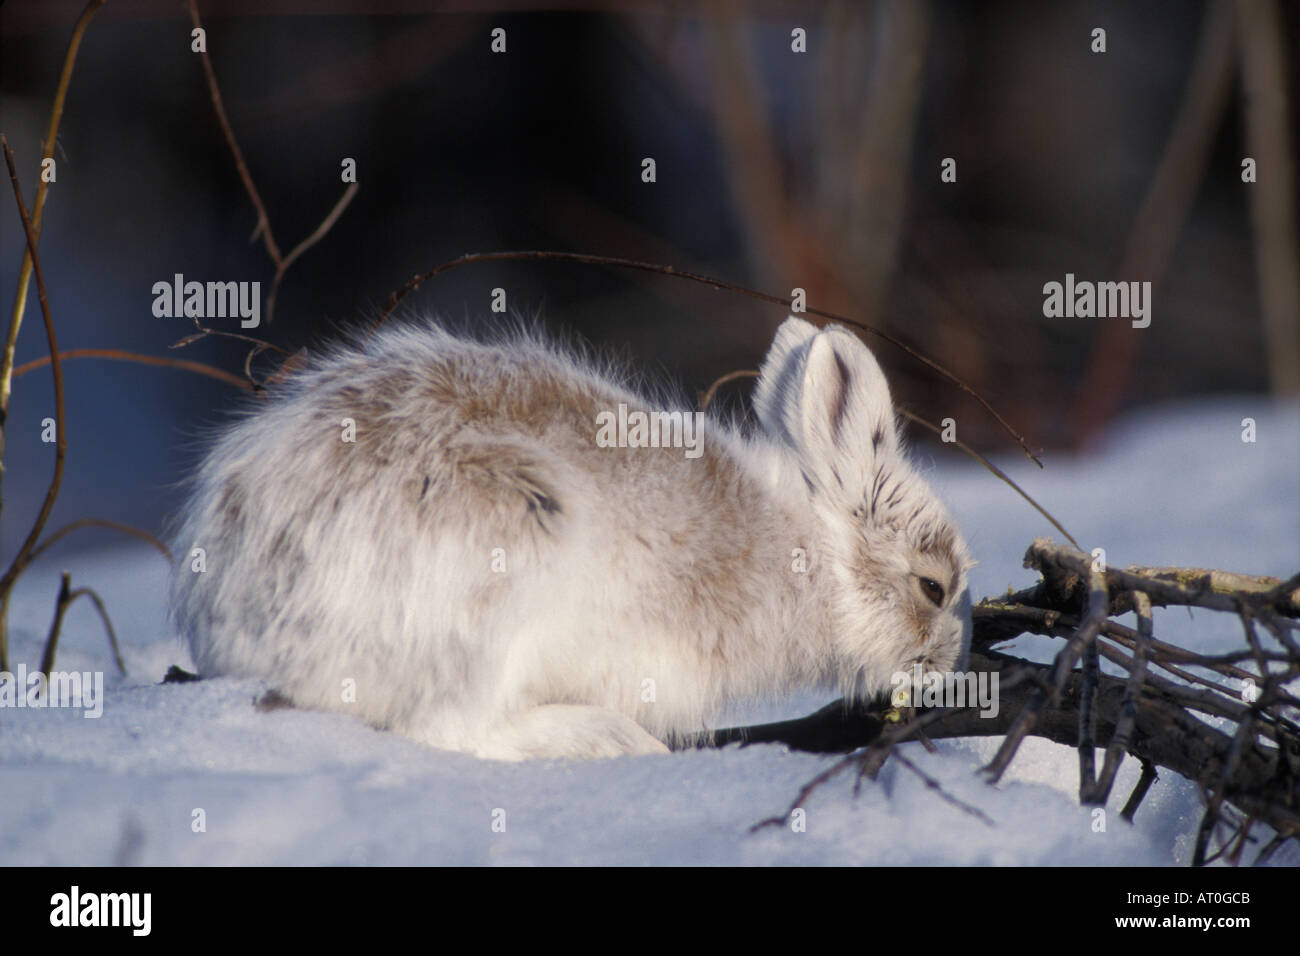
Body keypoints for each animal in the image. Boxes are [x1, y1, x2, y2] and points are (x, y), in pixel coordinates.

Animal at [170, 315, 974, 760]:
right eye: (933, 587)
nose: (950, 666)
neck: (808, 554)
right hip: (498, 566)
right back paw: (607, 741)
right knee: (448, 731)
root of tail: (248, 633)